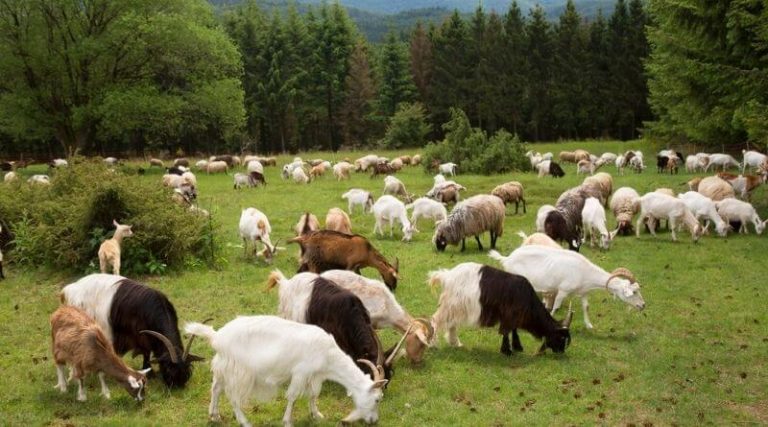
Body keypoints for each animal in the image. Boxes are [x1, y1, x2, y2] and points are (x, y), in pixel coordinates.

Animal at [61, 274, 204, 388]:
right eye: (168, 370)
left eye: (186, 371)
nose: (177, 386)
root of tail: (70, 289)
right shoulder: (141, 335)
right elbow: (146, 351)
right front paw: (149, 371)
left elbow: (147, 352)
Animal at [185, 316, 387, 426]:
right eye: (377, 399)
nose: (374, 421)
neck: (328, 353)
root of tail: (217, 336)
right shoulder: (300, 372)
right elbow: (293, 396)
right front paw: (288, 421)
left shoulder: (315, 376)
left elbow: (314, 395)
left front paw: (316, 415)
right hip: (240, 372)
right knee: (233, 398)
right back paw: (244, 422)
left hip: (223, 366)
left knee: (216, 389)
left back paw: (214, 416)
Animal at [428, 262, 573, 355]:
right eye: (561, 338)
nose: (561, 352)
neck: (527, 297)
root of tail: (447, 276)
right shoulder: (509, 315)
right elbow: (506, 331)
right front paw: (507, 351)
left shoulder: (512, 316)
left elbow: (513, 330)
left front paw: (517, 347)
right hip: (451, 304)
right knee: (436, 320)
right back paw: (433, 344)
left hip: (456, 307)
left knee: (451, 324)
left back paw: (455, 343)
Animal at [490, 246, 645, 329]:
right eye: (634, 291)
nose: (643, 305)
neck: (584, 271)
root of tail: (507, 258)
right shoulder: (563, 290)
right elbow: (556, 306)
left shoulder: (583, 292)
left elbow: (586, 307)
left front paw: (589, 325)